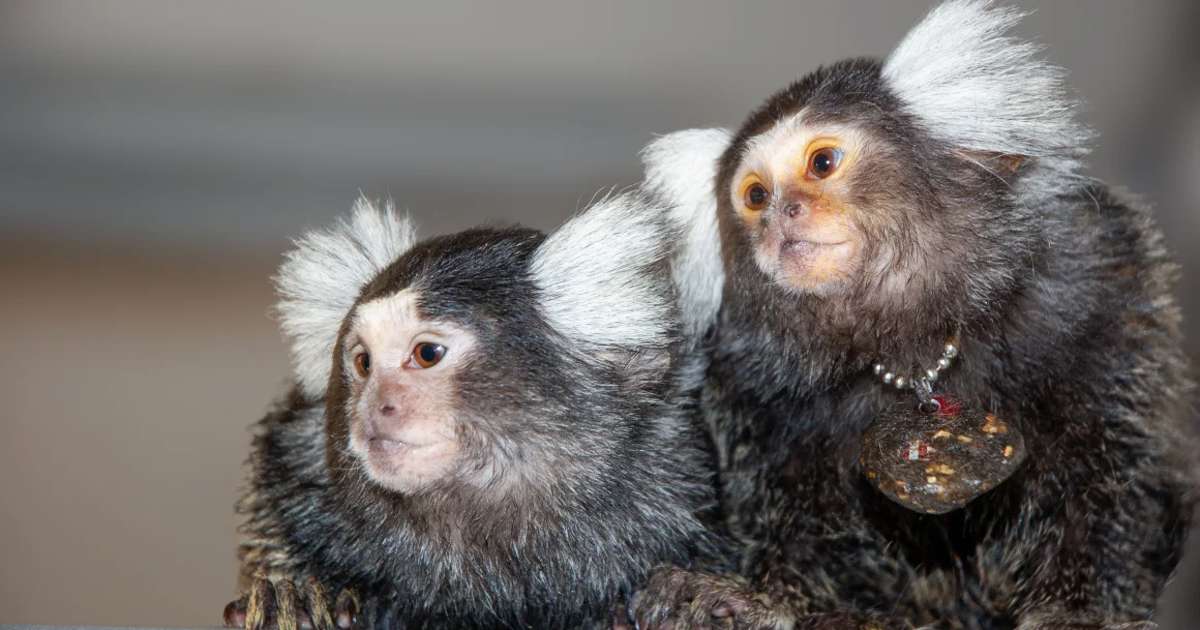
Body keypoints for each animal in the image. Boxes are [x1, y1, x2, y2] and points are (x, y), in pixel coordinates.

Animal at [630, 1, 1197, 629]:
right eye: (755, 195)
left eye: (822, 162)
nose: (782, 216)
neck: (913, 344)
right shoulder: (753, 386)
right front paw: (761, 598)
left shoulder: (1100, 286)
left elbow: (1114, 471)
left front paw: (1078, 608)